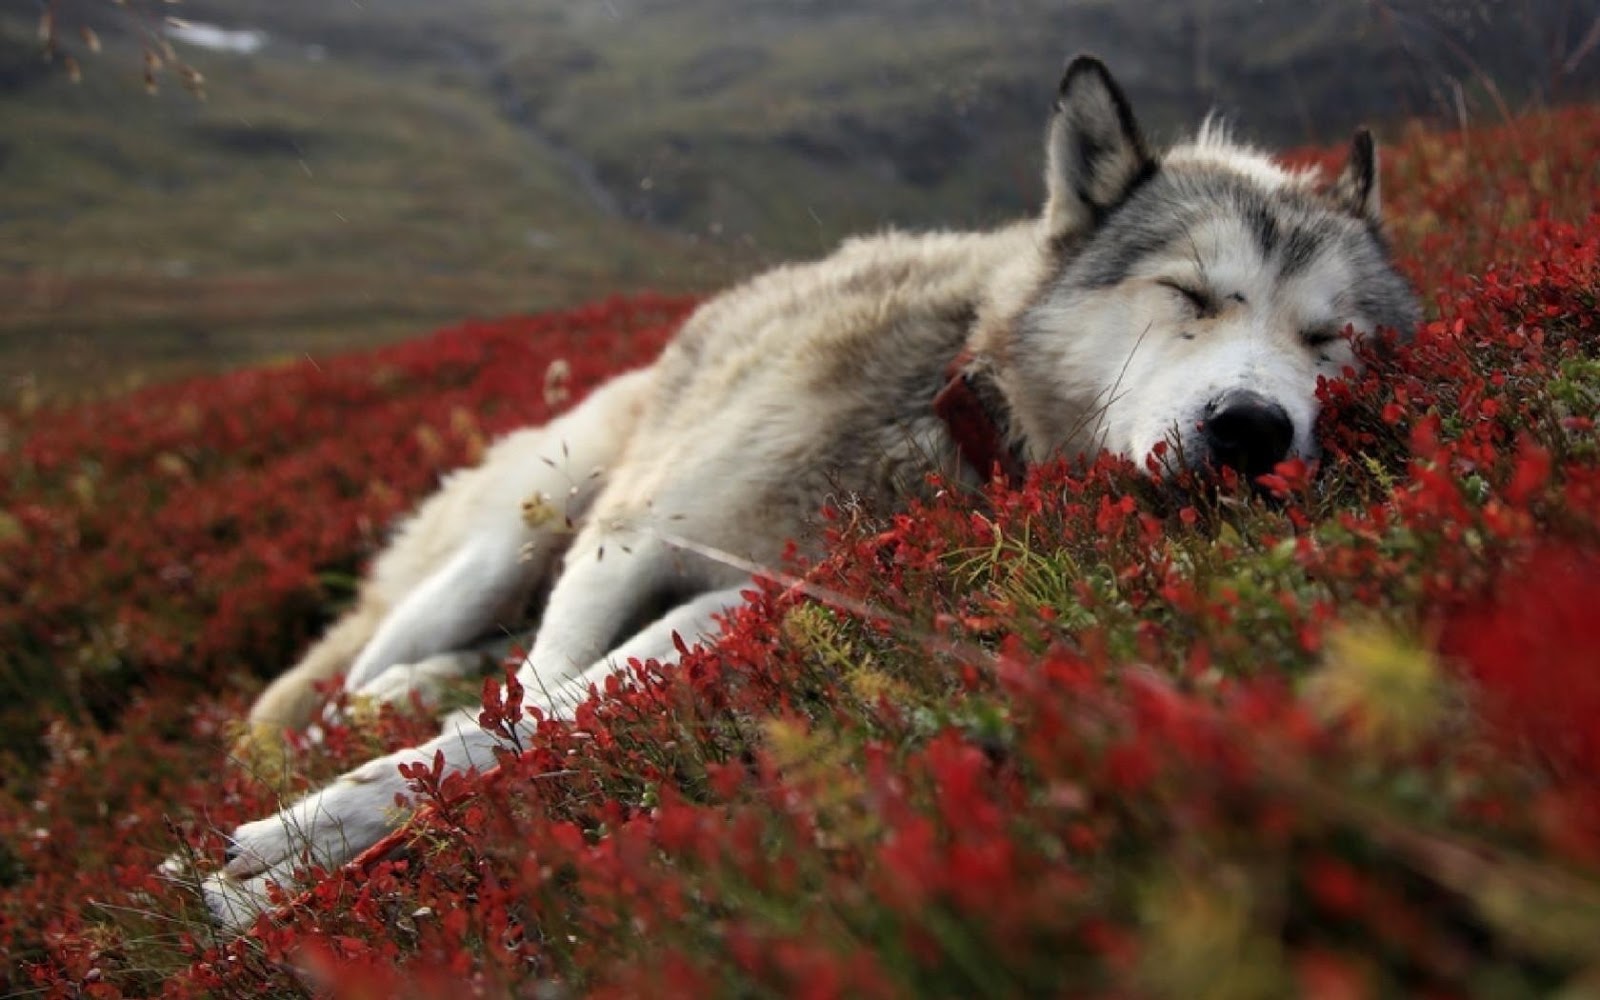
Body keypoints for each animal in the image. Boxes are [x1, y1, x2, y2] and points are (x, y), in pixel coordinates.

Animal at [196, 55, 1419, 927]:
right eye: (1190, 295)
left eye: (1329, 340)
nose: (1252, 430)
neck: (946, 409)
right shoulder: (628, 543)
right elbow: (533, 699)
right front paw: (299, 844)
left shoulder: (743, 602)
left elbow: (541, 719)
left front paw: (300, 864)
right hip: (524, 529)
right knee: (336, 680)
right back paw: (339, 719)